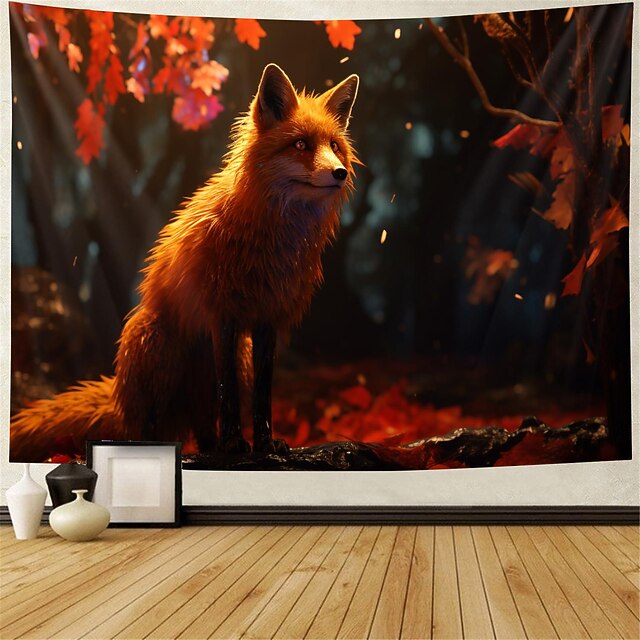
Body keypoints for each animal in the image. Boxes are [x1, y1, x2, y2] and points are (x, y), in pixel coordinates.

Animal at [10, 64, 359, 462]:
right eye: (300, 145)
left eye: (335, 146)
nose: (339, 173)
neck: (271, 240)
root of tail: (117, 400)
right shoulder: (221, 315)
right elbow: (228, 395)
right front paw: (235, 445)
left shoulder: (268, 319)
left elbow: (262, 396)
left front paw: (265, 446)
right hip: (155, 347)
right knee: (147, 430)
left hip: (230, 360)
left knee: (202, 426)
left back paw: (210, 448)